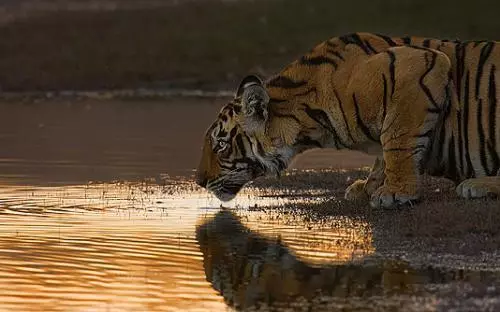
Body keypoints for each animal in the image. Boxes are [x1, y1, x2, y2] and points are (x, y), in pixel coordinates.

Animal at [193, 31, 498, 208]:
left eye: (221, 145)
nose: (199, 182)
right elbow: (384, 153)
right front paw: (368, 186)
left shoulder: (419, 66)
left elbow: (397, 141)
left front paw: (396, 191)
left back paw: (476, 185)